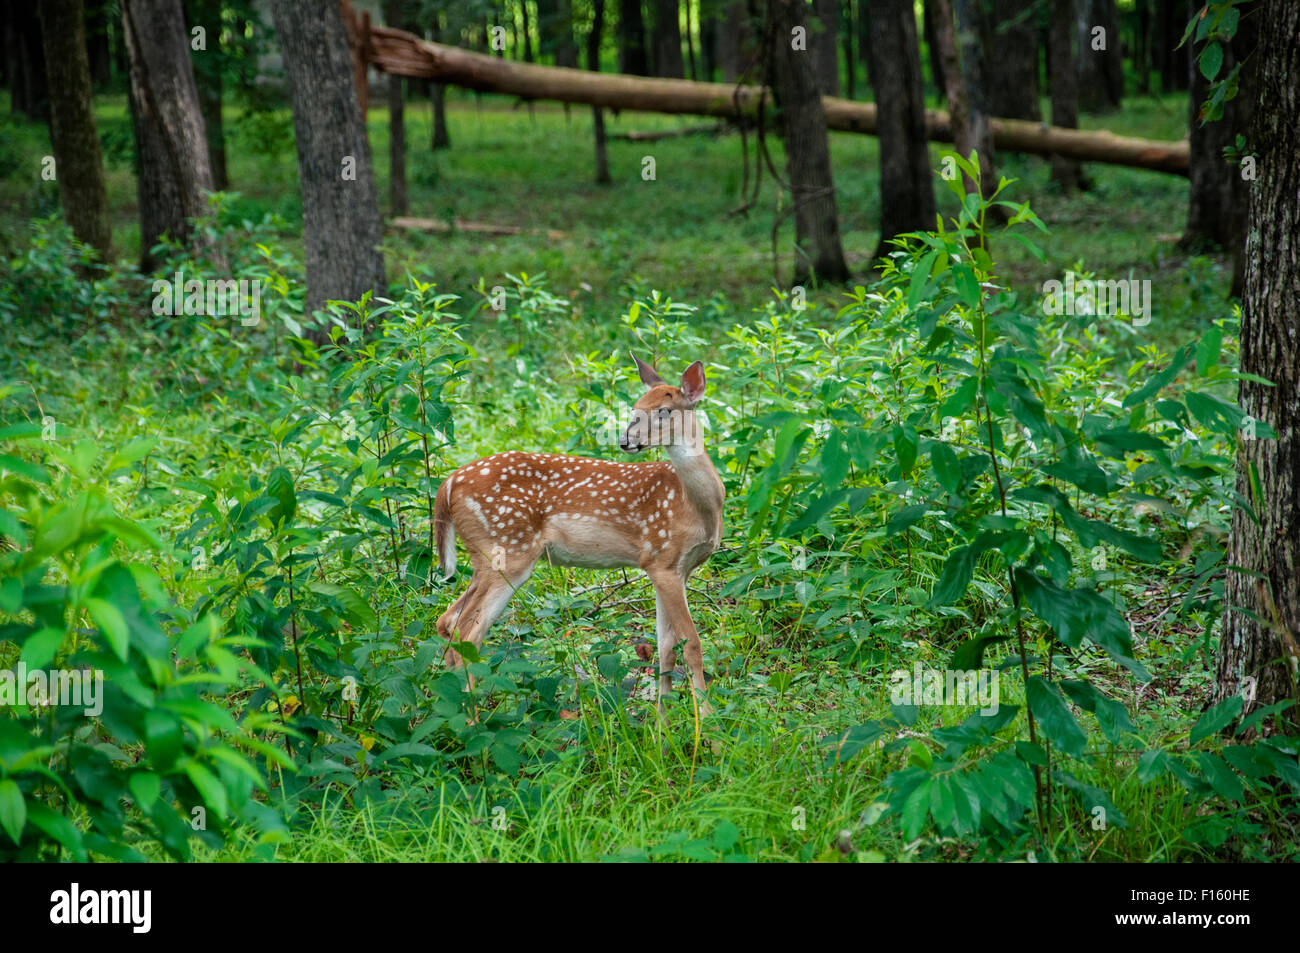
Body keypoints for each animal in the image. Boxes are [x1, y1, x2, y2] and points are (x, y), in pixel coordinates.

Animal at [432, 355, 724, 715]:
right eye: (635, 408)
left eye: (665, 411)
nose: (625, 441)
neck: (696, 506)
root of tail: (448, 484)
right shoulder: (662, 559)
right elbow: (692, 645)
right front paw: (707, 724)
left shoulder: (671, 569)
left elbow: (665, 647)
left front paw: (663, 723)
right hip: (508, 549)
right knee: (467, 633)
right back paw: (474, 722)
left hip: (485, 557)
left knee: (447, 621)